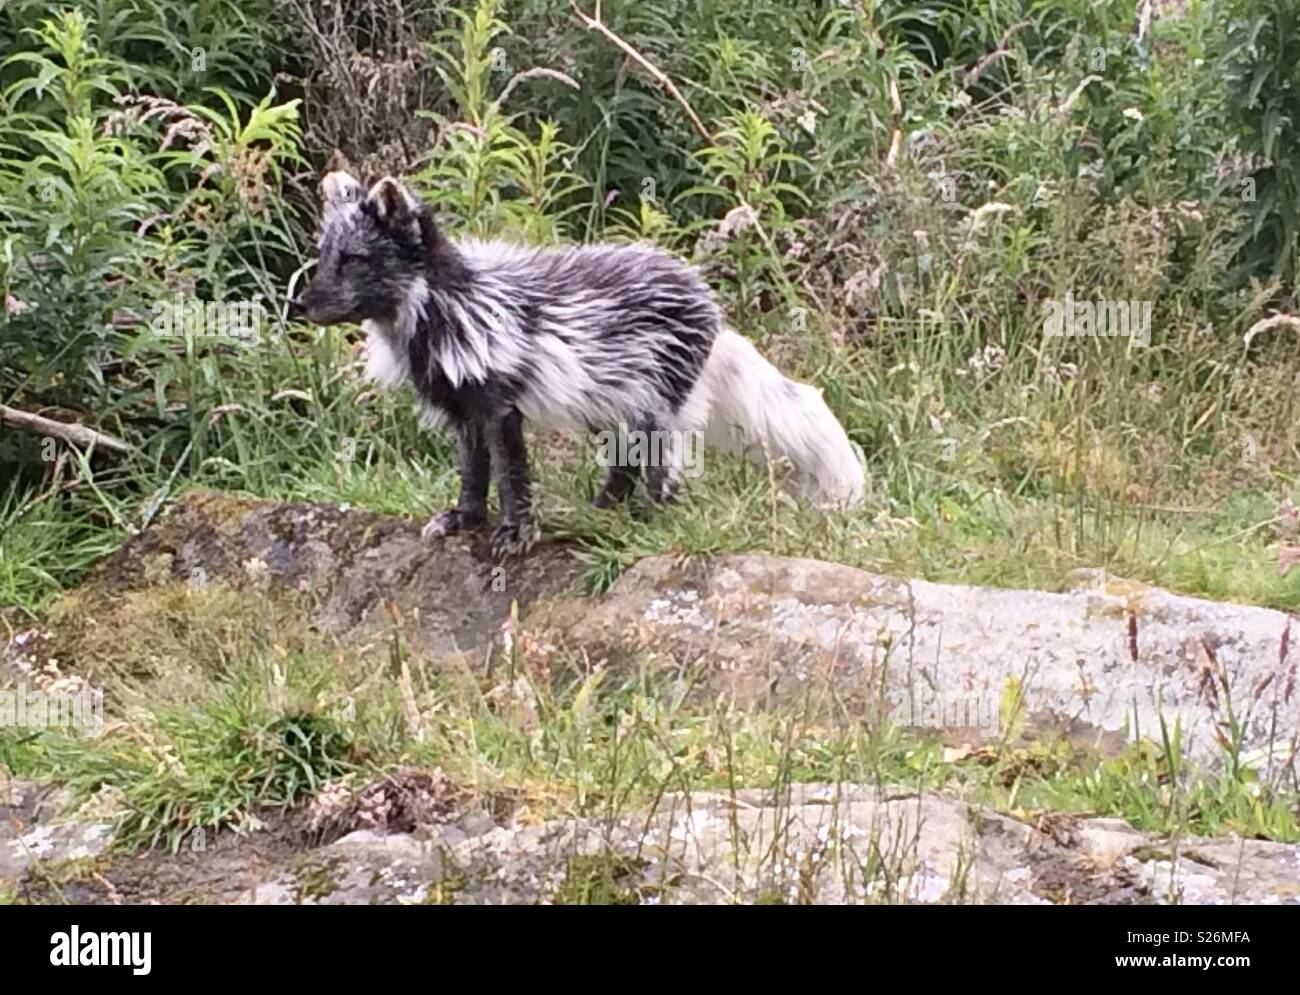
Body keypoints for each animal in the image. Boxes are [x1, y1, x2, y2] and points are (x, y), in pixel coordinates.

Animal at [297, 165, 865, 558]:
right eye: (324, 257)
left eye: (354, 260)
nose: (298, 304)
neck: (447, 306)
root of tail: (711, 305)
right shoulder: (464, 410)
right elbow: (473, 475)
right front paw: (464, 520)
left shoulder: (499, 407)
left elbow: (512, 477)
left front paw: (514, 535)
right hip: (610, 403)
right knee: (625, 462)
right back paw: (602, 514)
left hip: (655, 406)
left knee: (660, 469)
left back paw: (651, 522)